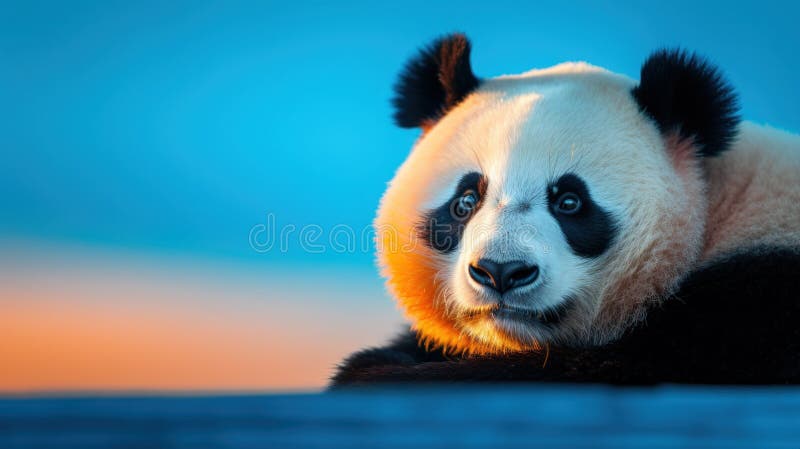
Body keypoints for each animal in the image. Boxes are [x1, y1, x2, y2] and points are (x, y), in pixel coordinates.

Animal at [332, 34, 800, 386]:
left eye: (569, 202)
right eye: (466, 201)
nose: (501, 272)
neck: (716, 204)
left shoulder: (749, 309)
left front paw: (370, 371)